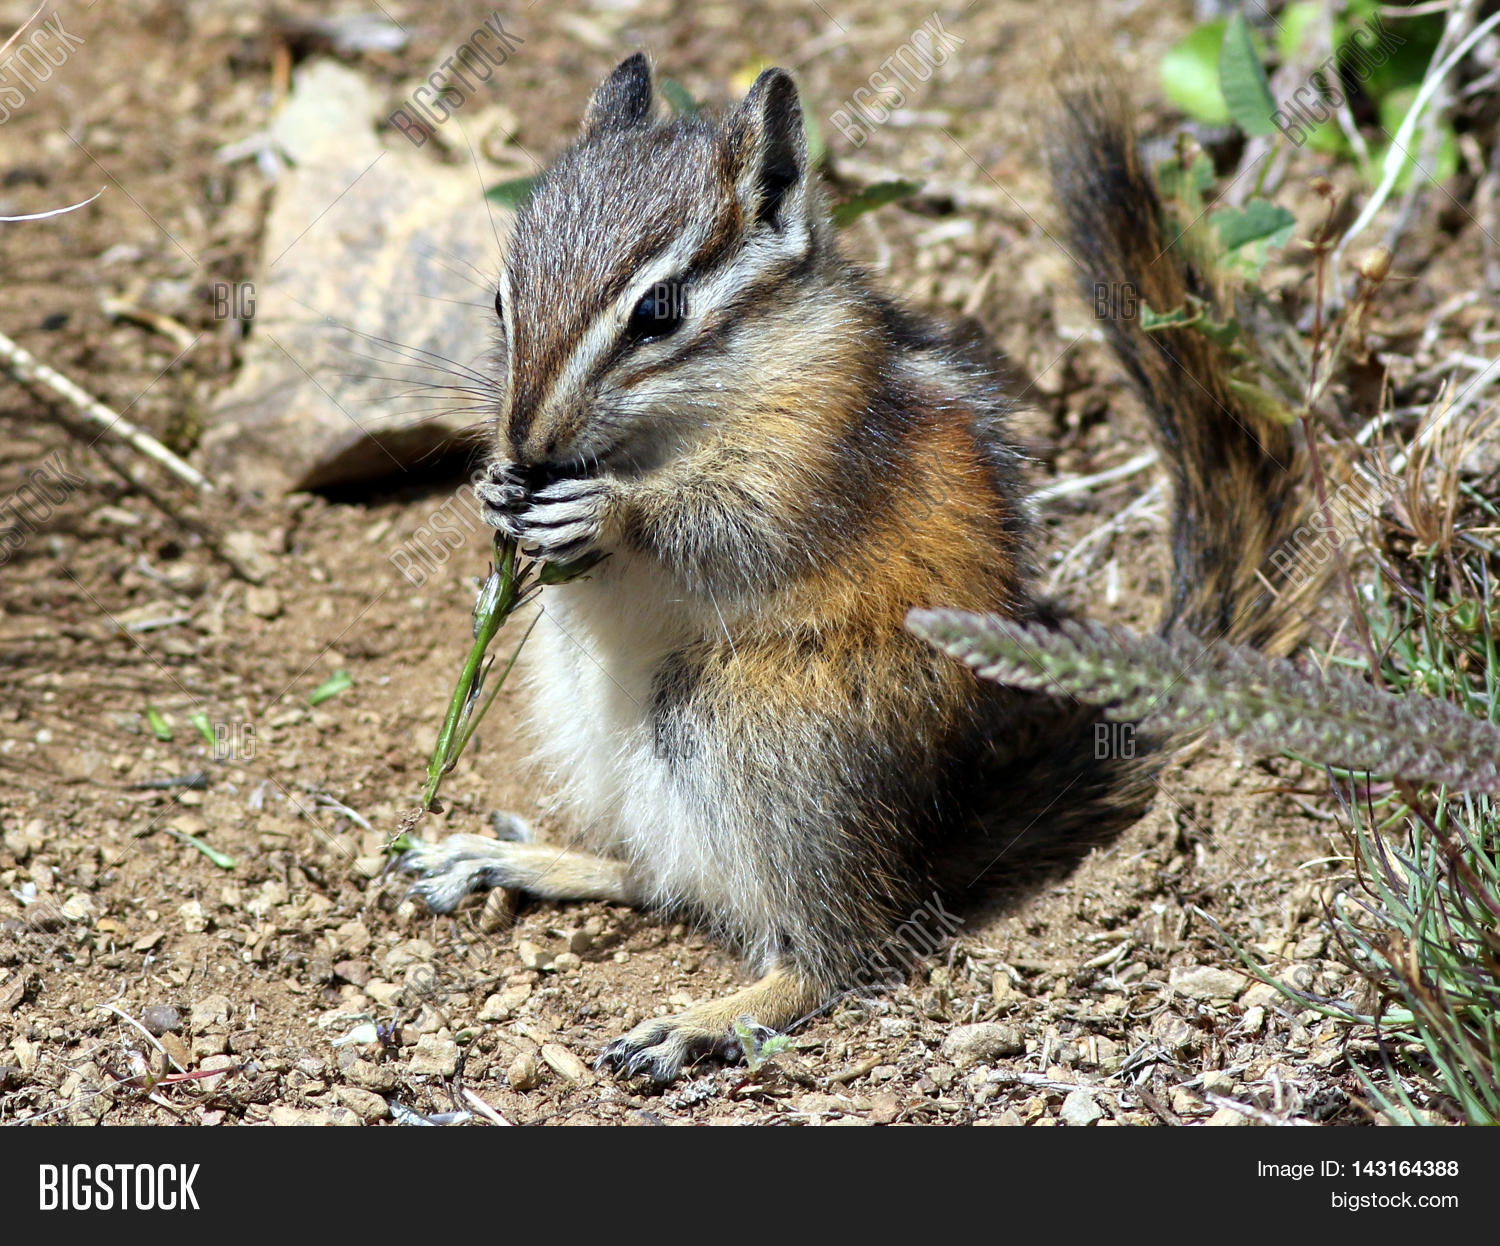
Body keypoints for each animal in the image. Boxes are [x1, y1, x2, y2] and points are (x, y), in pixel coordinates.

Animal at [401, 54, 1314, 1082]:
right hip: (587, 725)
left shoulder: (813, 442)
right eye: (500, 300)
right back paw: (510, 860)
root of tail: (925, 839)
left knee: (836, 947)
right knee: (660, 875)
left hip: (752, 730)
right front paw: (493, 490)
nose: (526, 443)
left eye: (659, 313)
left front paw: (607, 510)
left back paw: (706, 1016)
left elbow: (730, 522)